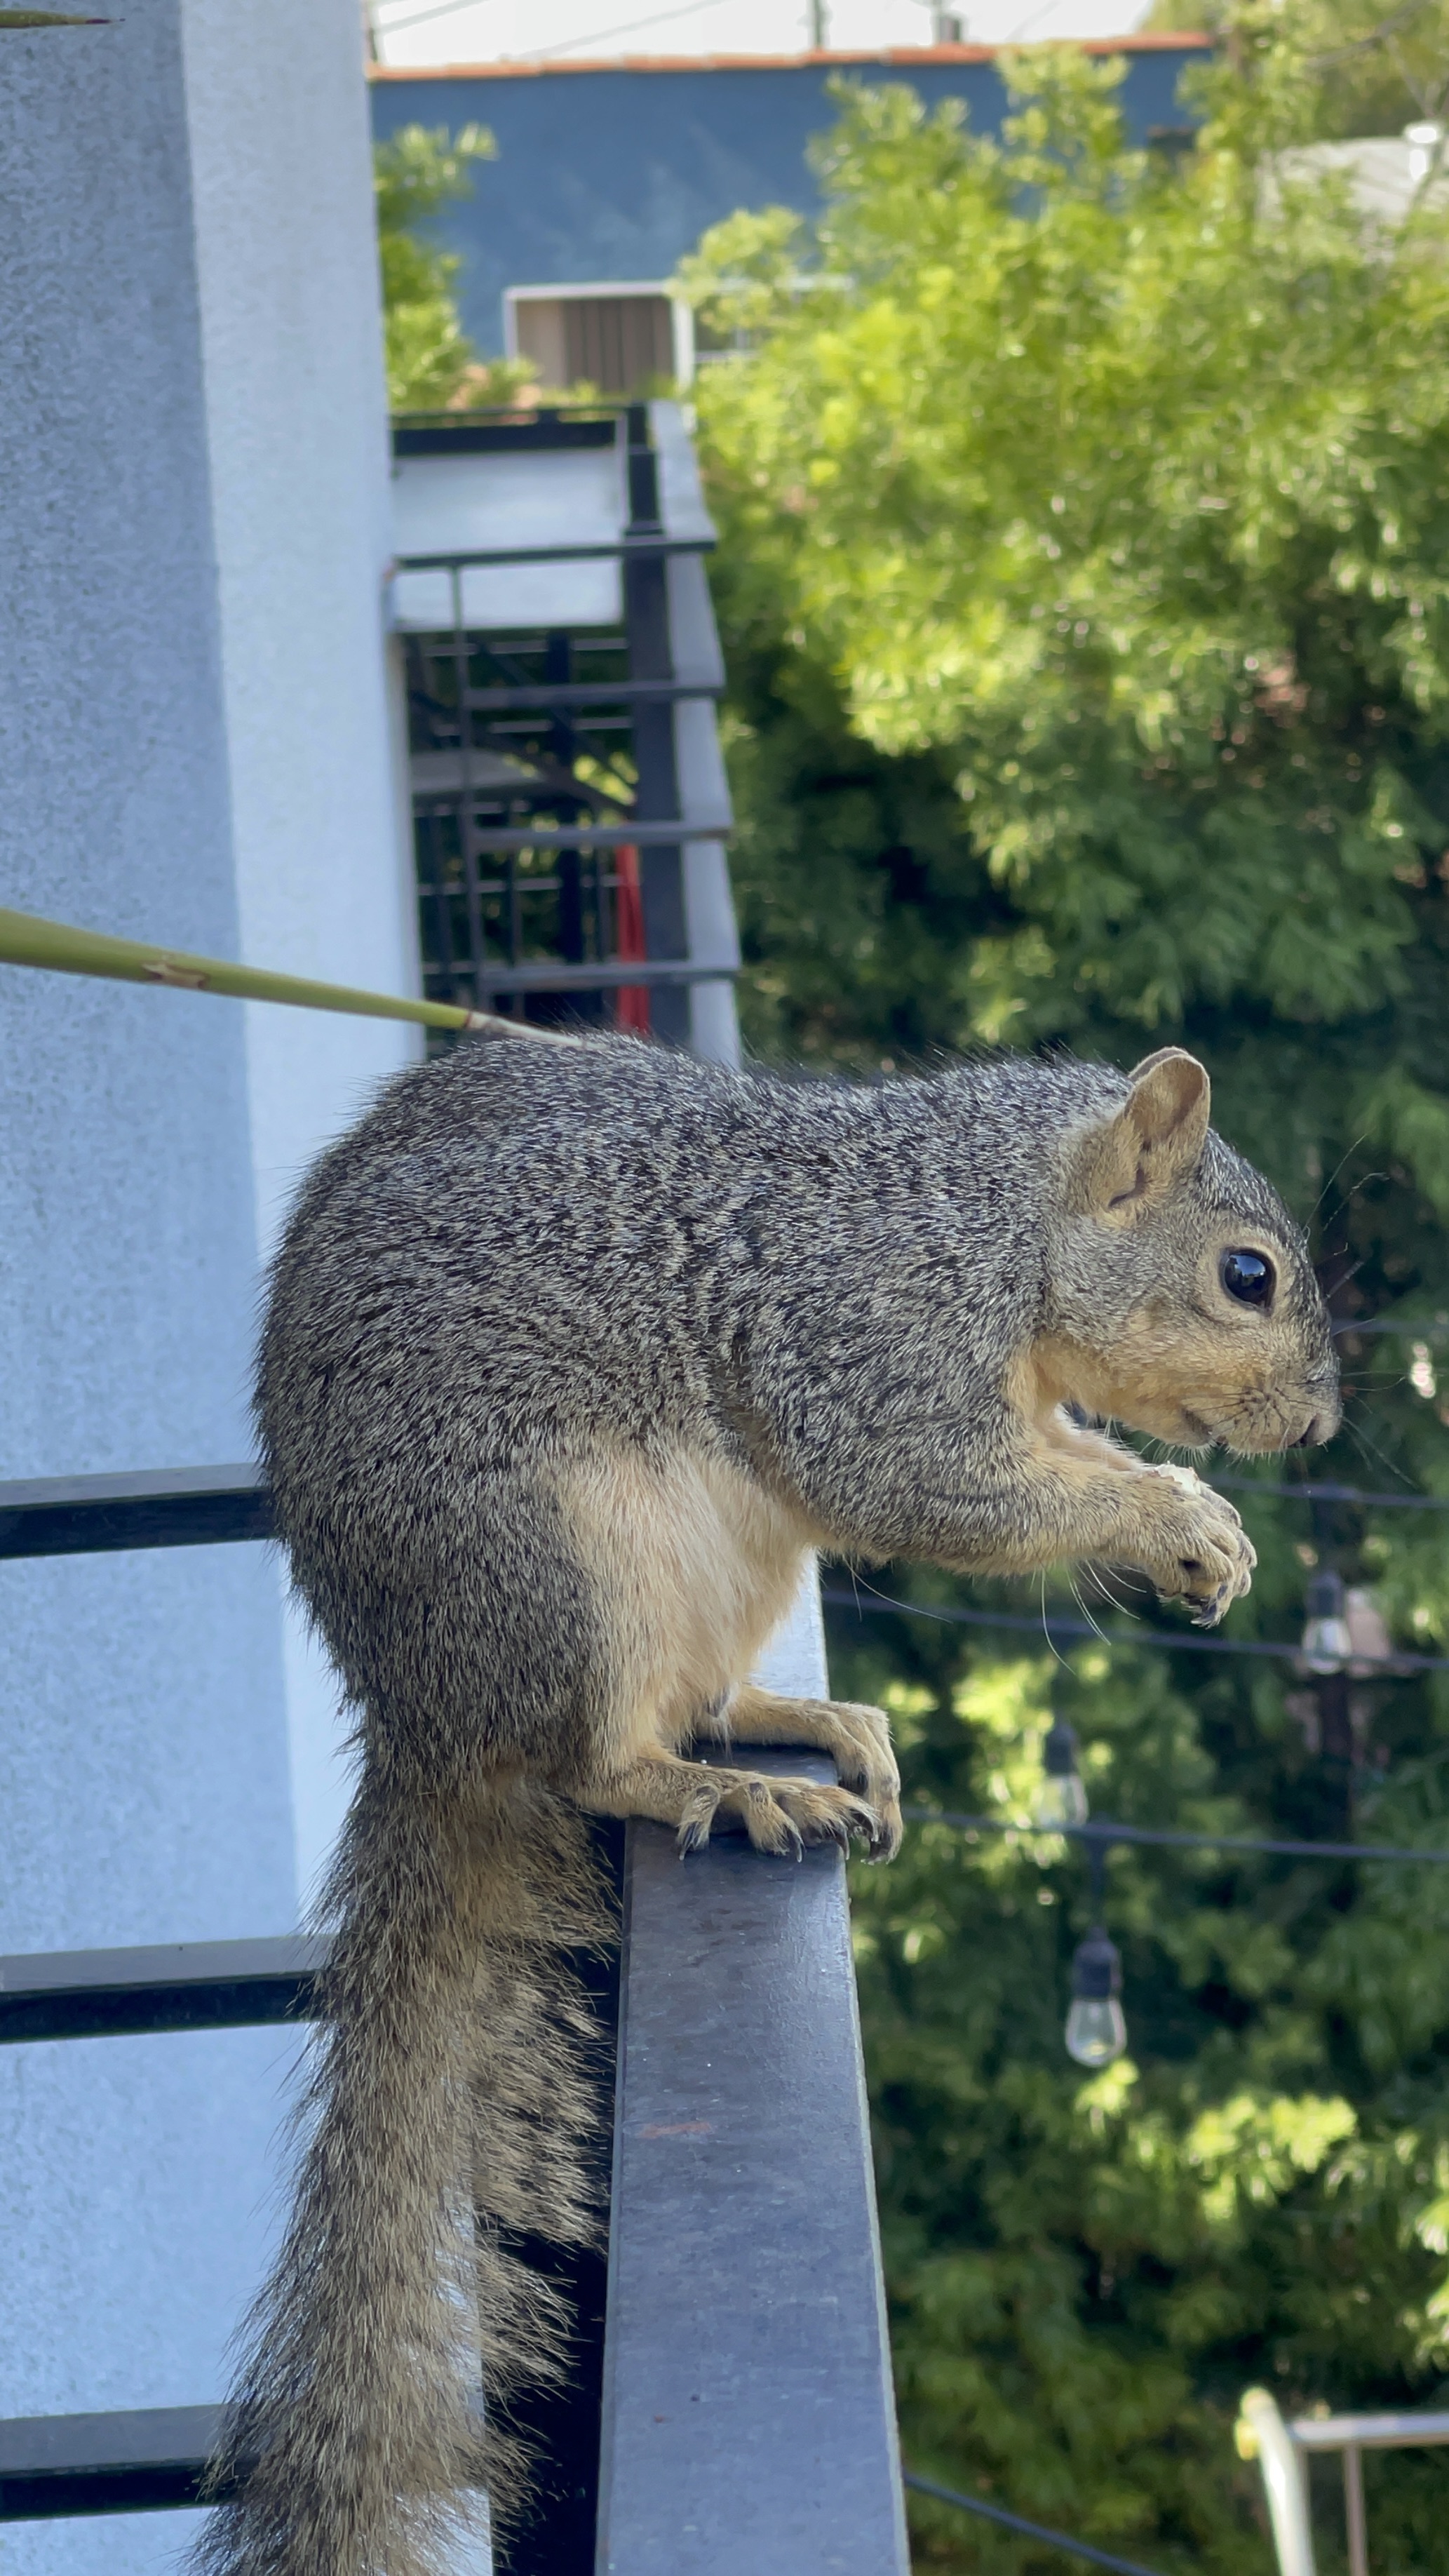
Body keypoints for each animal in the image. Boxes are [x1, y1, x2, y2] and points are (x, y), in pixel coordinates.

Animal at [195, 1034, 1338, 2576]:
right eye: (1245, 1276)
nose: (1321, 1420)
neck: (1000, 1224)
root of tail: (422, 1712)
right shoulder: (867, 1336)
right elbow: (931, 1482)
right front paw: (1169, 1518)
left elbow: (1053, 1457)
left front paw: (1192, 1520)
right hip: (568, 1564)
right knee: (600, 1758)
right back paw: (724, 1792)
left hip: (724, 1569)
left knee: (700, 1694)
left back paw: (802, 1724)